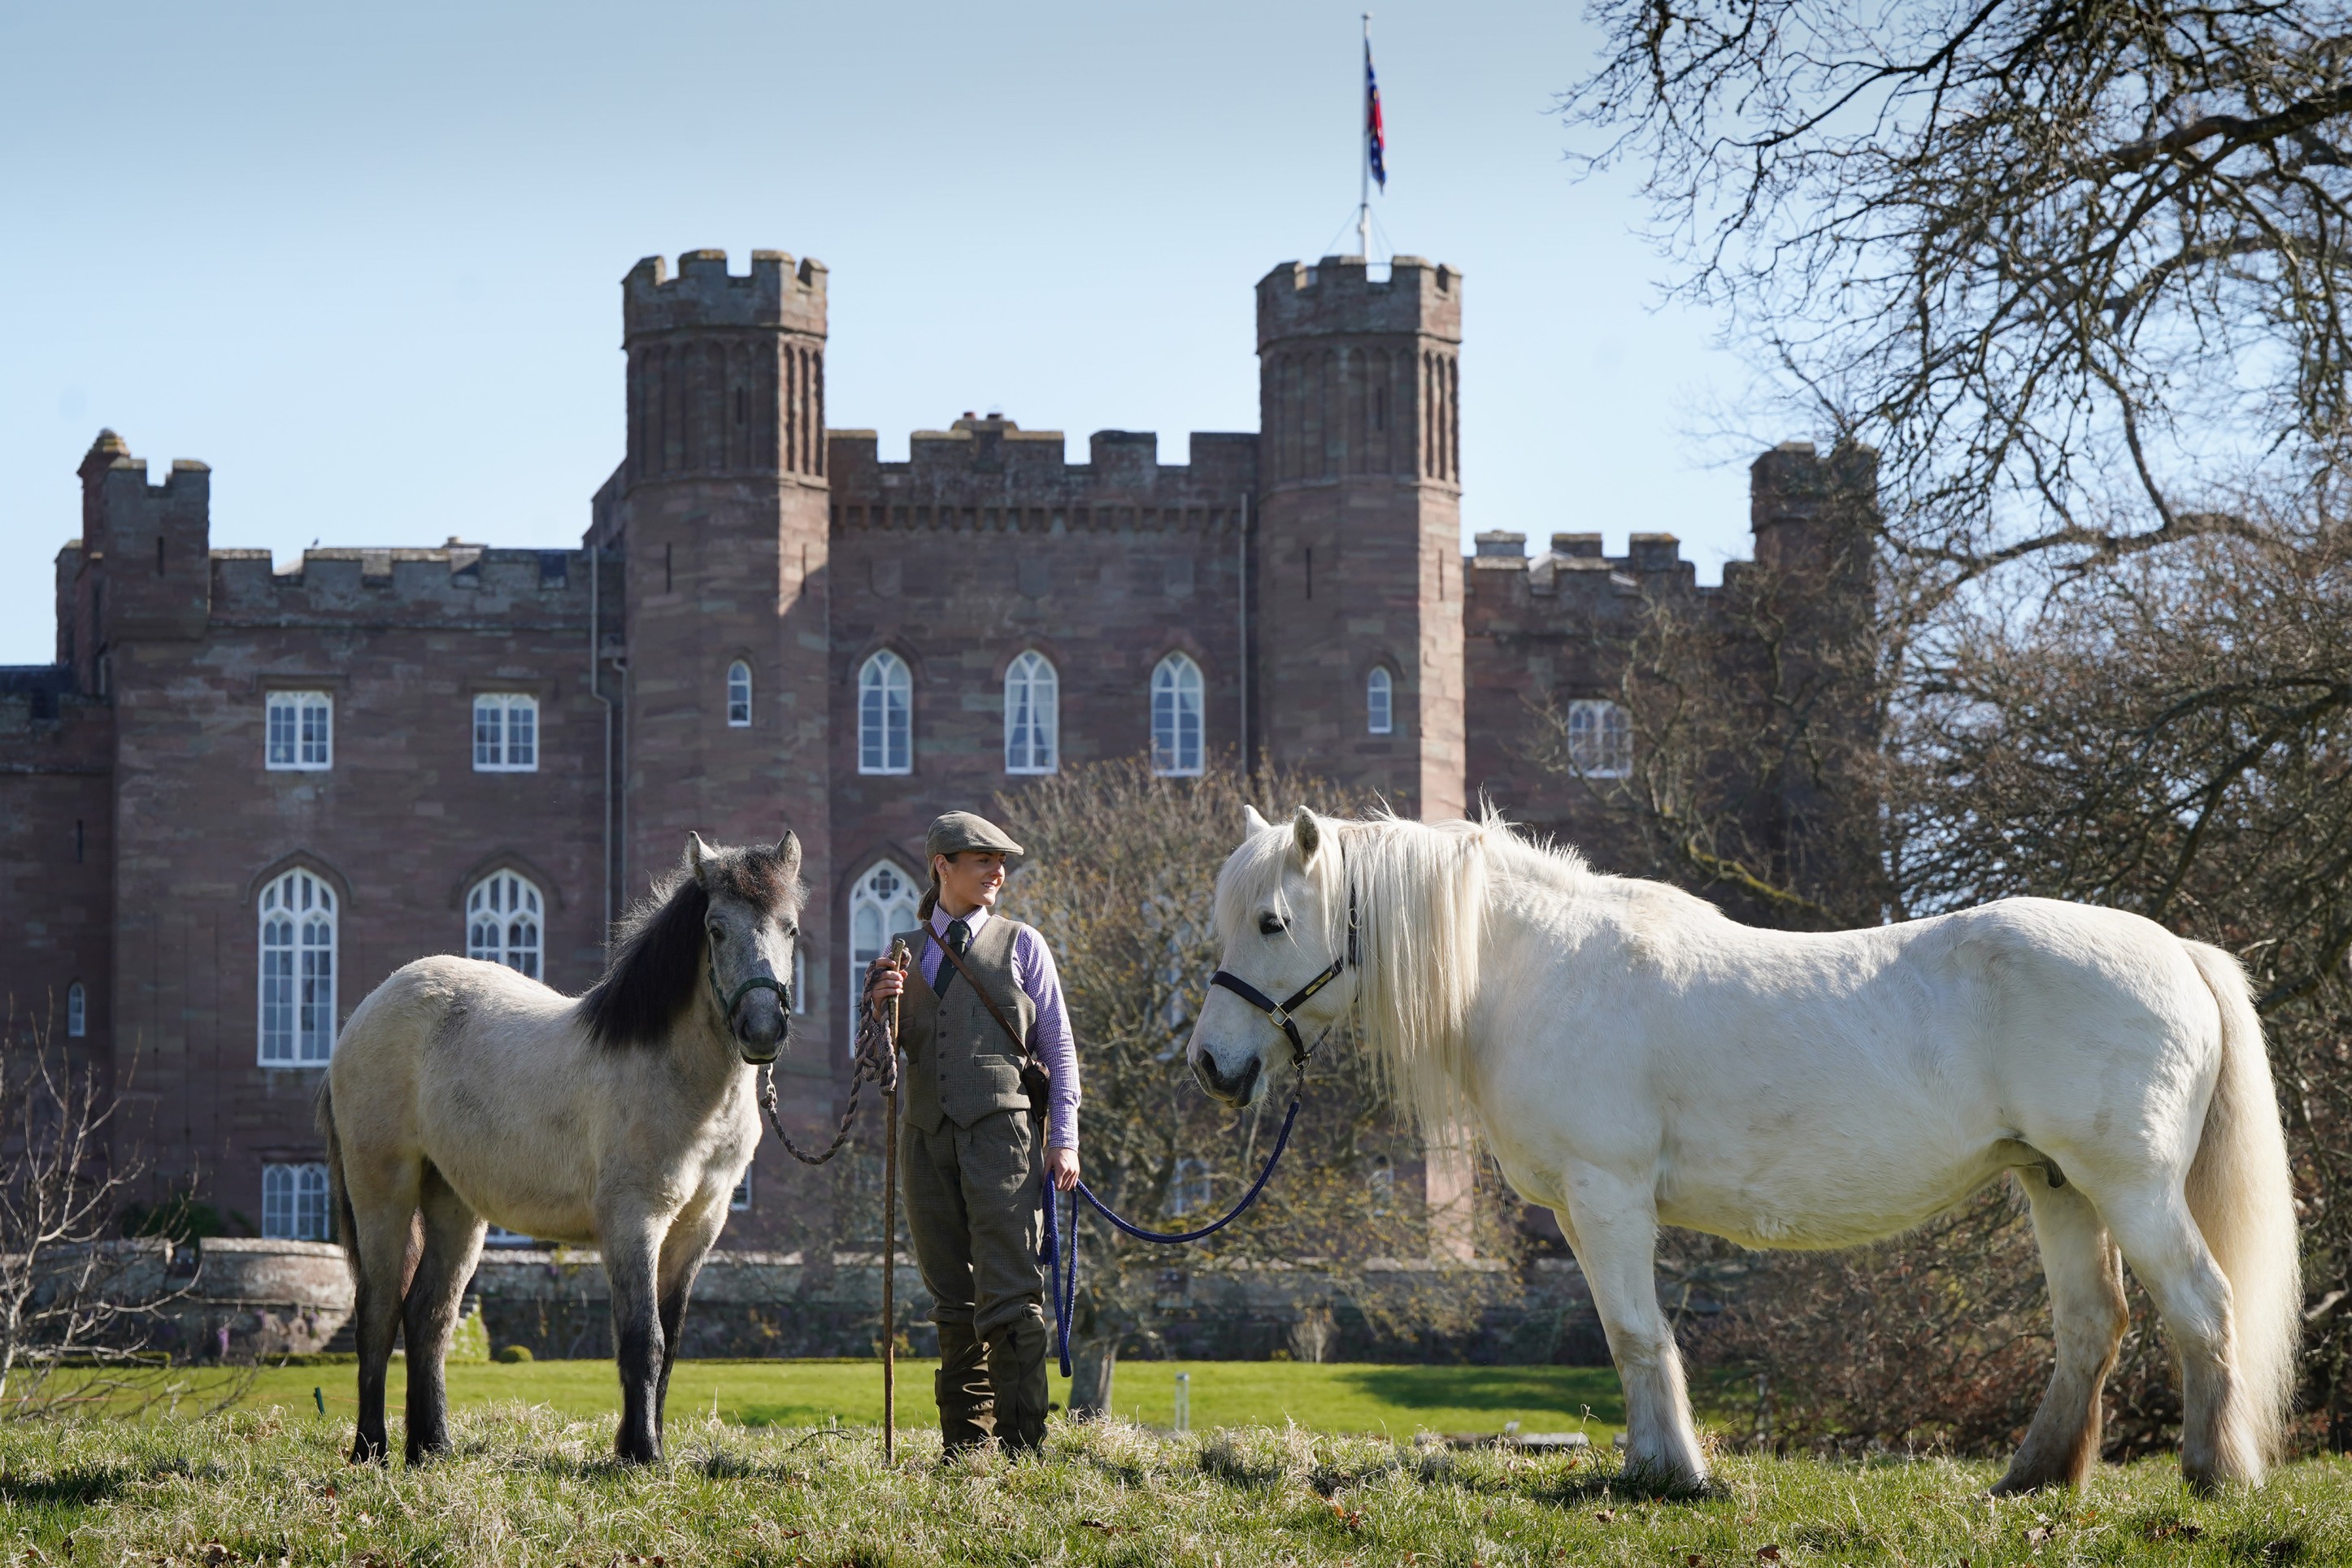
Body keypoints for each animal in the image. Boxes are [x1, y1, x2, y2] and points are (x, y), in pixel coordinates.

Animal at [316, 830, 803, 1466]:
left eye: (790, 928)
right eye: (716, 929)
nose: (763, 1029)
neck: (679, 1078)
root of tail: (365, 1014)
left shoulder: (698, 1228)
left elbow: (670, 1341)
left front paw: (645, 1445)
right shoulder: (634, 1221)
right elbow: (642, 1338)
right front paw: (642, 1453)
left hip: (454, 1203)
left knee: (430, 1315)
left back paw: (433, 1447)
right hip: (382, 1191)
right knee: (377, 1312)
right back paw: (370, 1448)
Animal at [1188, 806, 2300, 1494]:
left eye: (1272, 921)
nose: (1212, 1065)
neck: (1538, 973)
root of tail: (2178, 951)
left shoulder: (1608, 1197)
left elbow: (1638, 1336)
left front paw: (1674, 1474)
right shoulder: (1578, 1216)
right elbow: (1624, 1339)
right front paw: (1649, 1467)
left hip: (2130, 1188)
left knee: (2203, 1308)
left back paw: (2212, 1473)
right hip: (2057, 1186)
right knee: (2090, 1327)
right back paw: (2030, 1478)